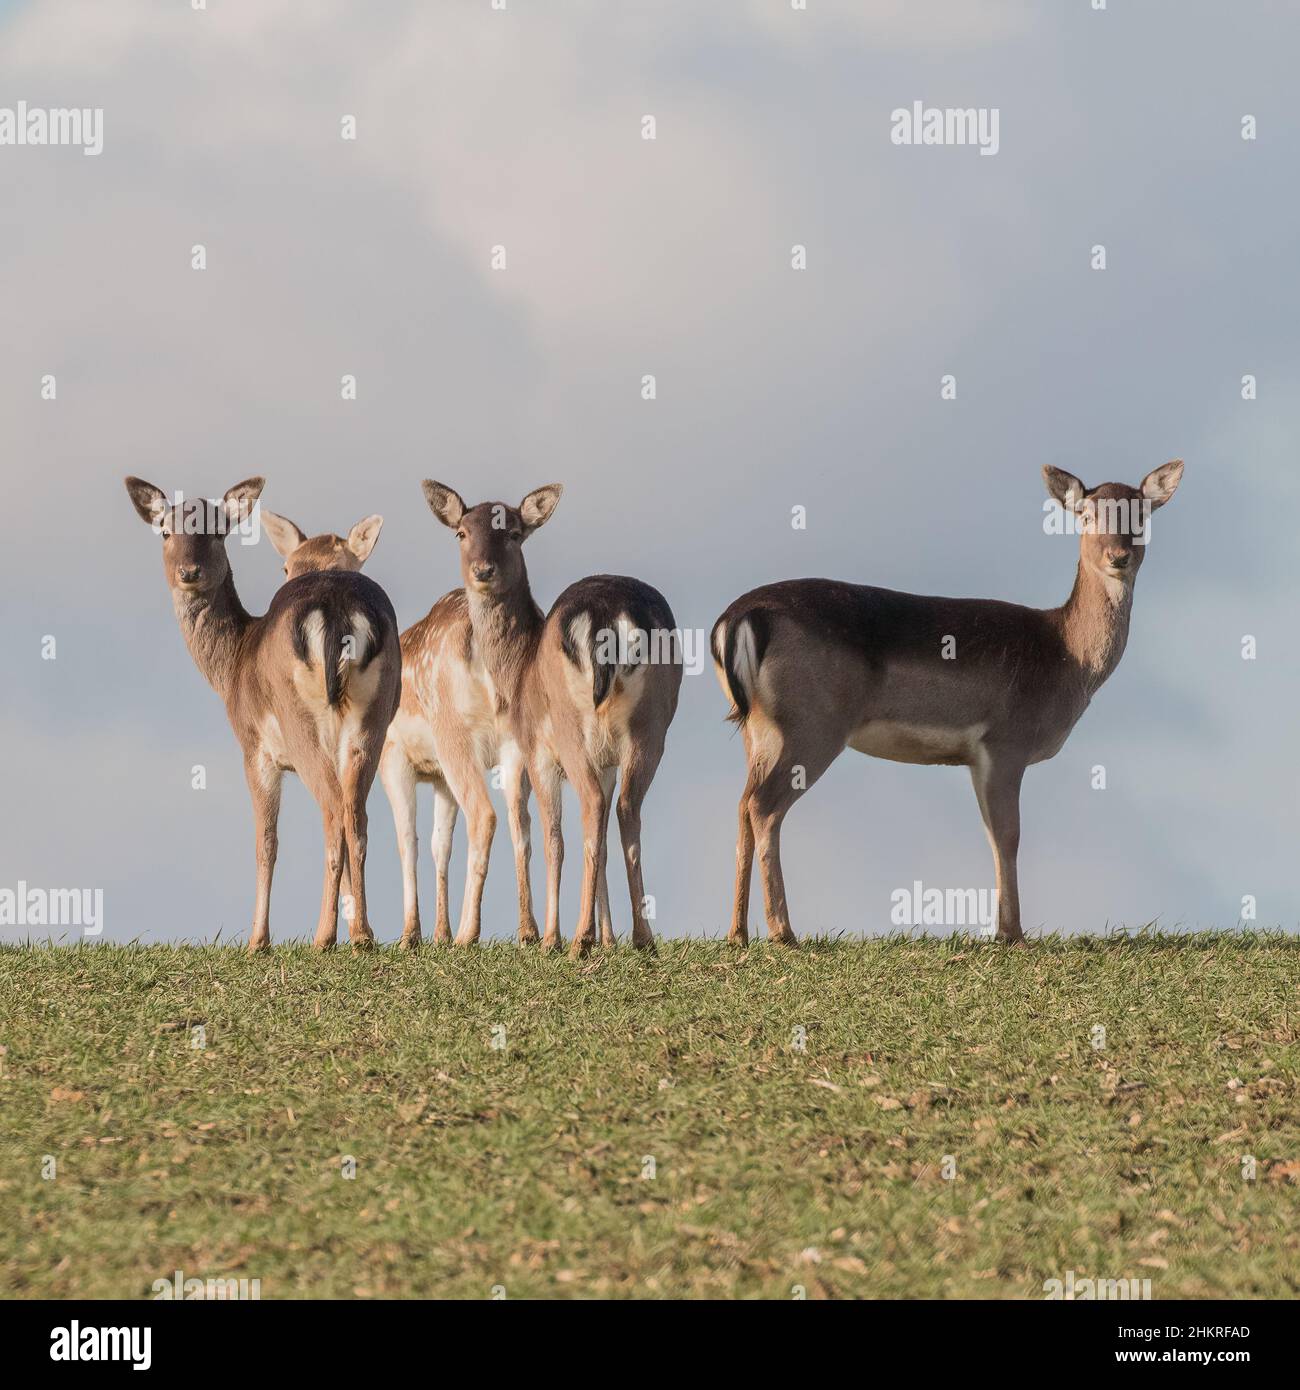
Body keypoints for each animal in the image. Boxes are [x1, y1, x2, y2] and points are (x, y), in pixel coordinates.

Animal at [124, 478, 402, 952]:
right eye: (165, 531)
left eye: (218, 532)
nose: (188, 573)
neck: (231, 667)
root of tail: (338, 610)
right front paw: (357, 932)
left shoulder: (255, 748)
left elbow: (265, 841)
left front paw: (257, 940)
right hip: (375, 721)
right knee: (356, 816)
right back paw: (362, 935)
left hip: (299, 721)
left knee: (332, 812)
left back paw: (322, 936)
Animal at [420, 481, 682, 958]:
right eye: (461, 533)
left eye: (513, 533)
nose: (482, 571)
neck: (517, 669)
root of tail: (607, 617)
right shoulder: (607, 760)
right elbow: (598, 836)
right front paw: (607, 937)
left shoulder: (535, 749)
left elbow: (552, 839)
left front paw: (550, 937)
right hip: (652, 727)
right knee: (627, 810)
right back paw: (642, 938)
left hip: (569, 725)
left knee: (592, 807)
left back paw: (577, 939)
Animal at [711, 461, 1184, 947]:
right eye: (1086, 515)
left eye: (1140, 515)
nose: (1118, 556)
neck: (1066, 659)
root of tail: (739, 619)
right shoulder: (1005, 741)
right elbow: (1008, 834)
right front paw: (1013, 934)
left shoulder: (977, 758)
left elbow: (992, 833)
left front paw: (1003, 930)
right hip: (812, 724)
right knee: (764, 806)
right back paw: (783, 932)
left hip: (758, 730)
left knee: (741, 804)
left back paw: (737, 933)